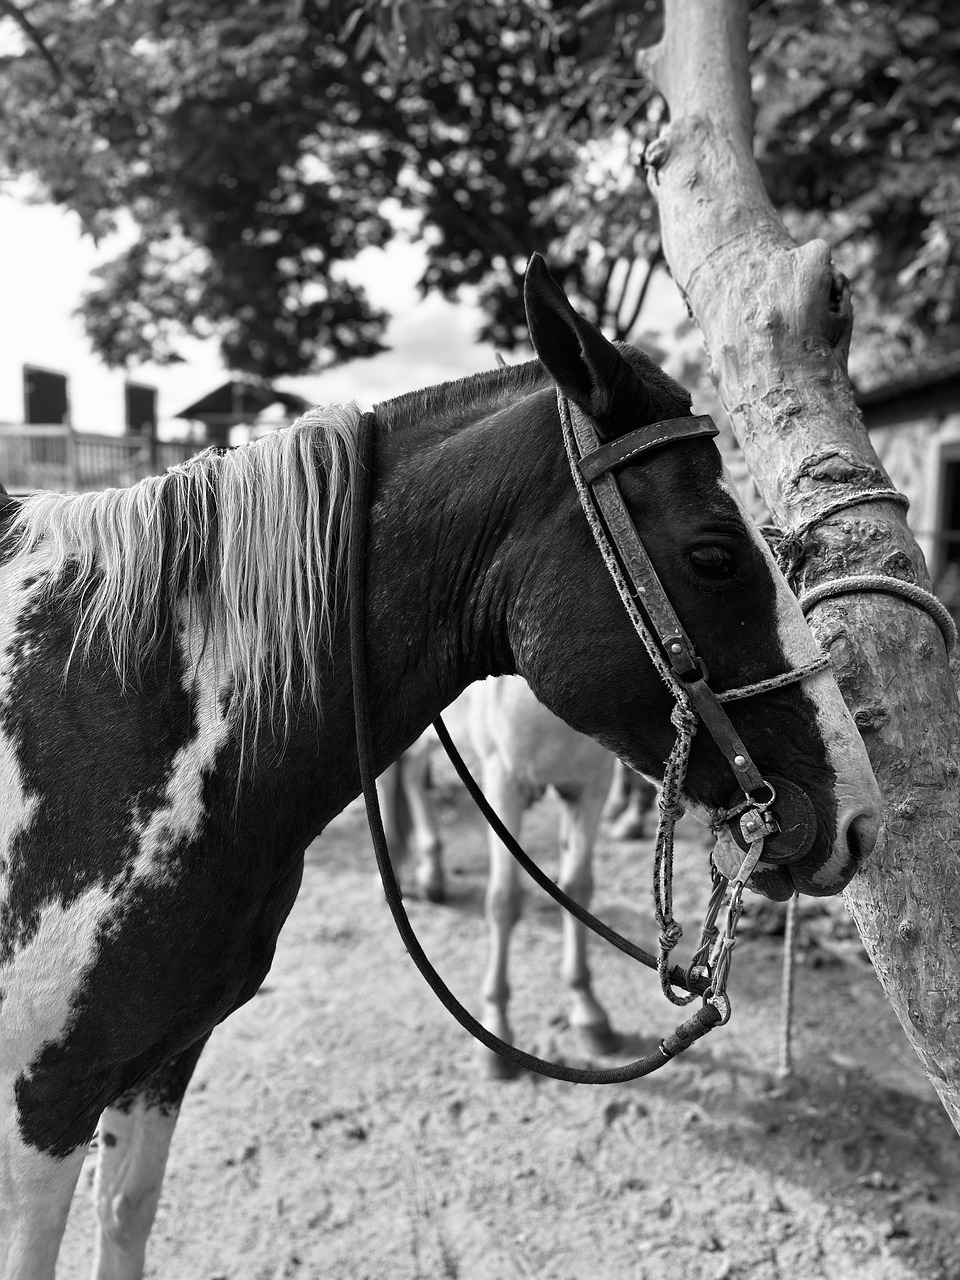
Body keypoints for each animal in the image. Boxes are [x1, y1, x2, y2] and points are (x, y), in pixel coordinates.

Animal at [0, 254, 882, 1279]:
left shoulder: (163, 1059)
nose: (859, 818)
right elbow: (504, 896)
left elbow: (127, 1216)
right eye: (714, 554)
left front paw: (585, 1011)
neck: (118, 715)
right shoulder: (42, 1104)